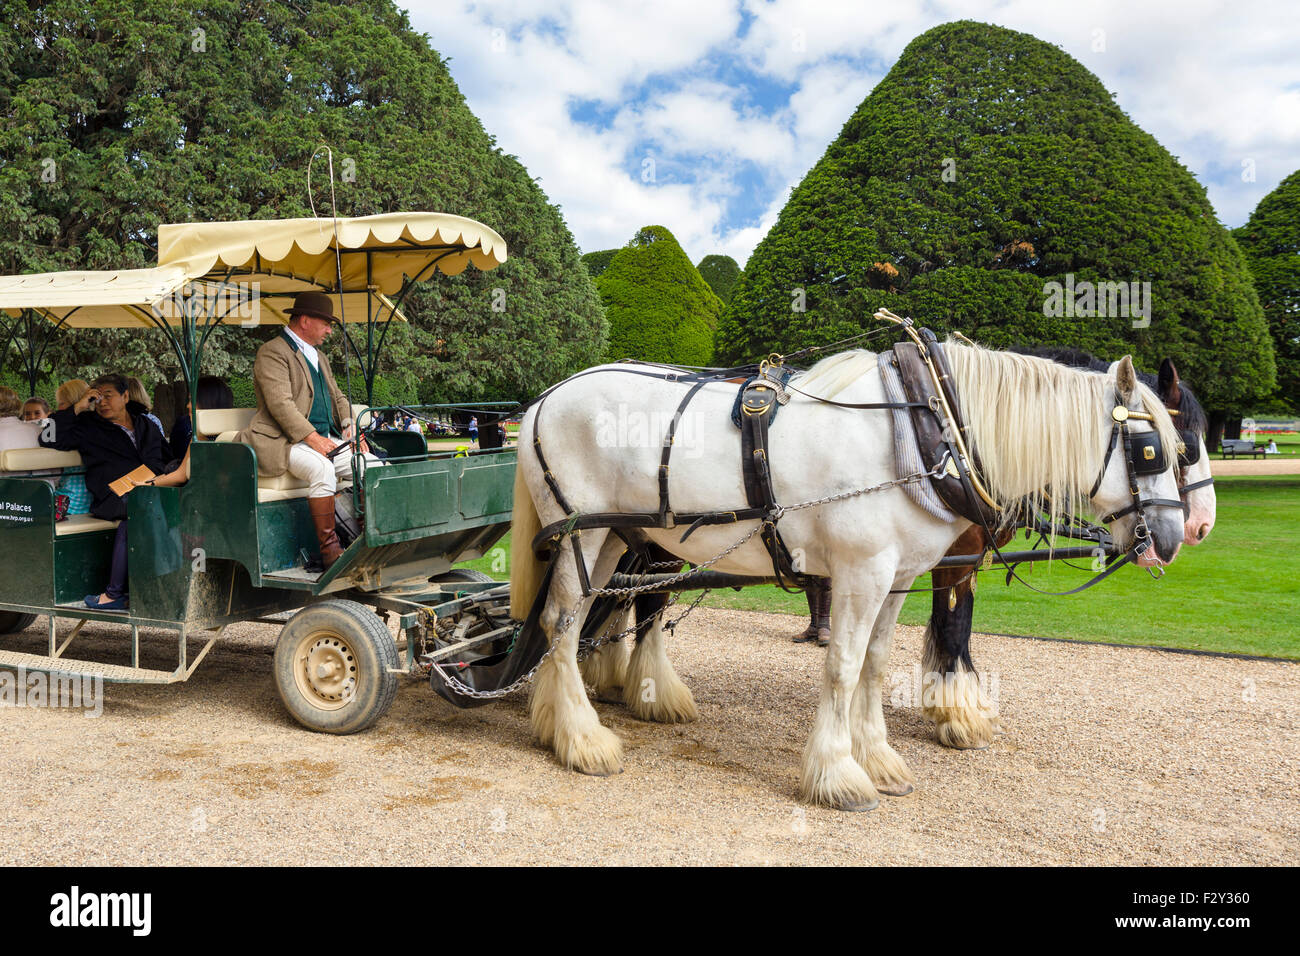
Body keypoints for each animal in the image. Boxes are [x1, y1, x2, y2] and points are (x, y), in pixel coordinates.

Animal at [509, 341, 1185, 810]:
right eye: (1152, 449)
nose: (1179, 537)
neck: (921, 432)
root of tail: (544, 398)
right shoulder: (861, 571)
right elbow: (842, 665)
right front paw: (838, 772)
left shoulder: (899, 575)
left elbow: (876, 664)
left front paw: (878, 757)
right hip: (583, 533)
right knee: (562, 620)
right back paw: (582, 738)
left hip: (611, 538)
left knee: (578, 618)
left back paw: (560, 721)